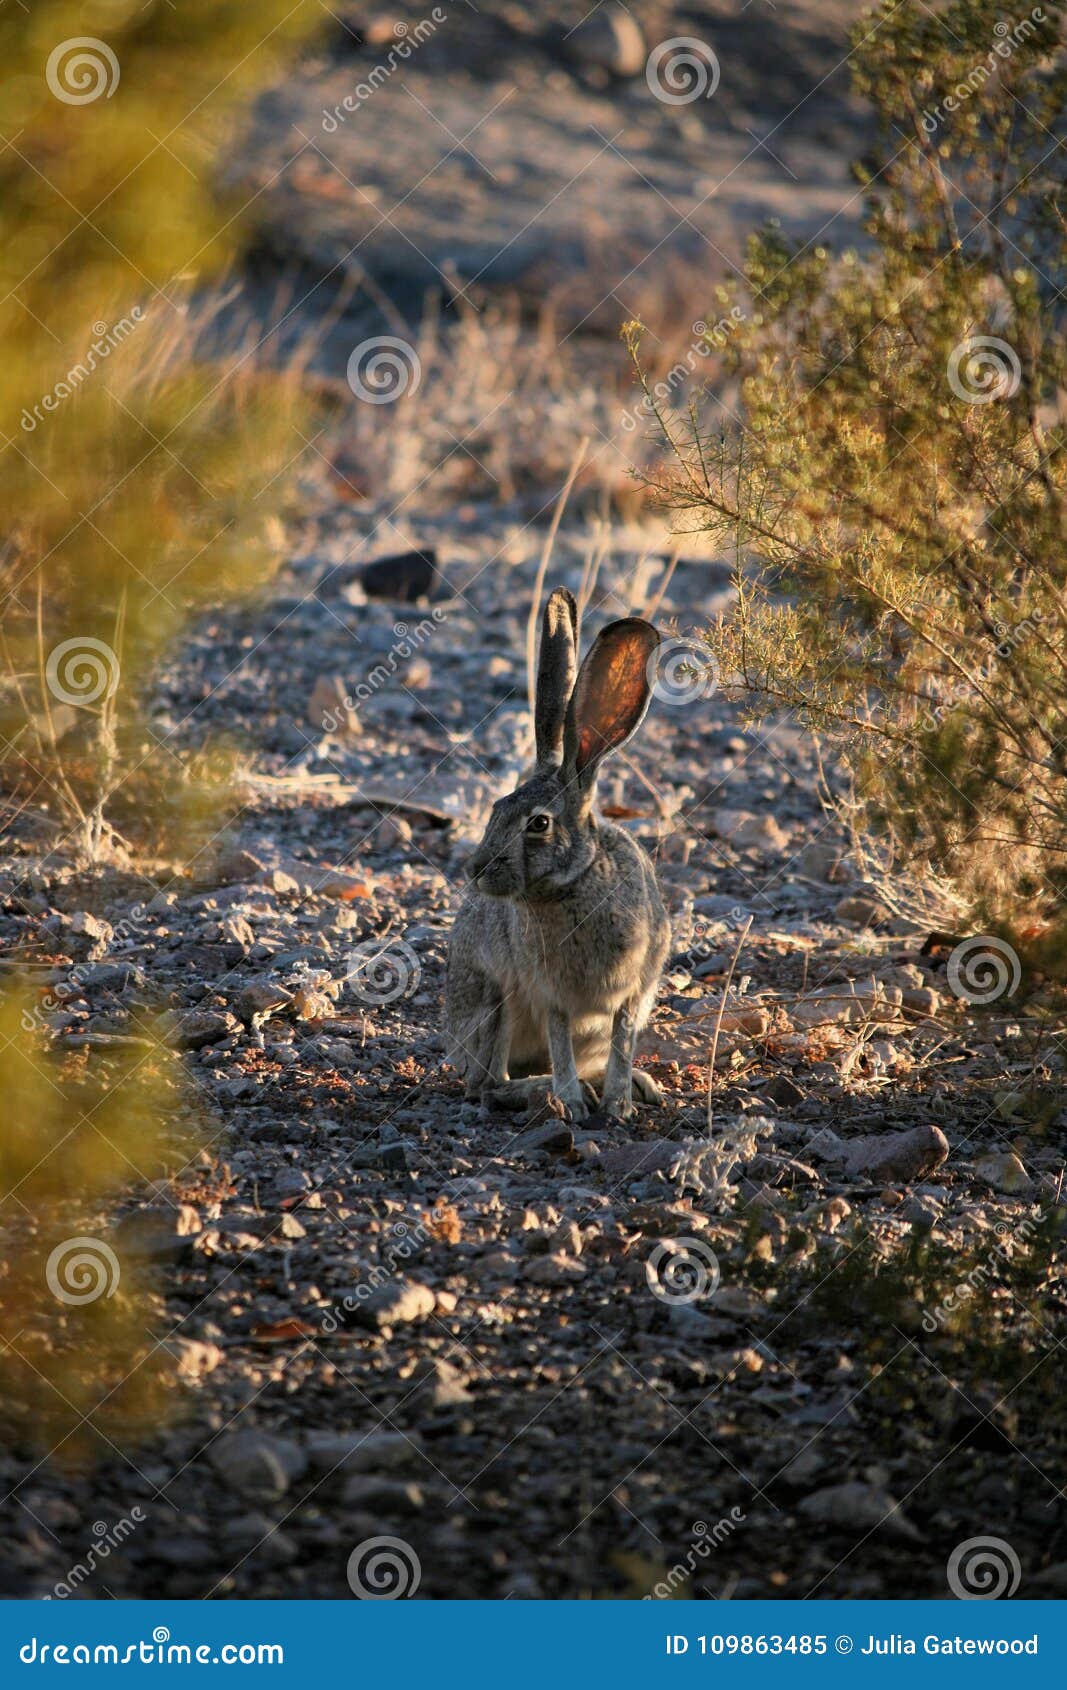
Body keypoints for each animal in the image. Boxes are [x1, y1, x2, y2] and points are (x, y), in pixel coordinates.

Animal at [446, 586, 670, 1120]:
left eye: (538, 824)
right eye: (496, 809)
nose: (475, 870)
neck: (577, 880)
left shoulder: (632, 996)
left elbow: (623, 1043)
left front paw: (619, 1103)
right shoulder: (550, 996)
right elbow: (559, 1040)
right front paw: (572, 1101)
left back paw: (635, 1084)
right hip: (496, 1007)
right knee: (487, 1084)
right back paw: (545, 1090)